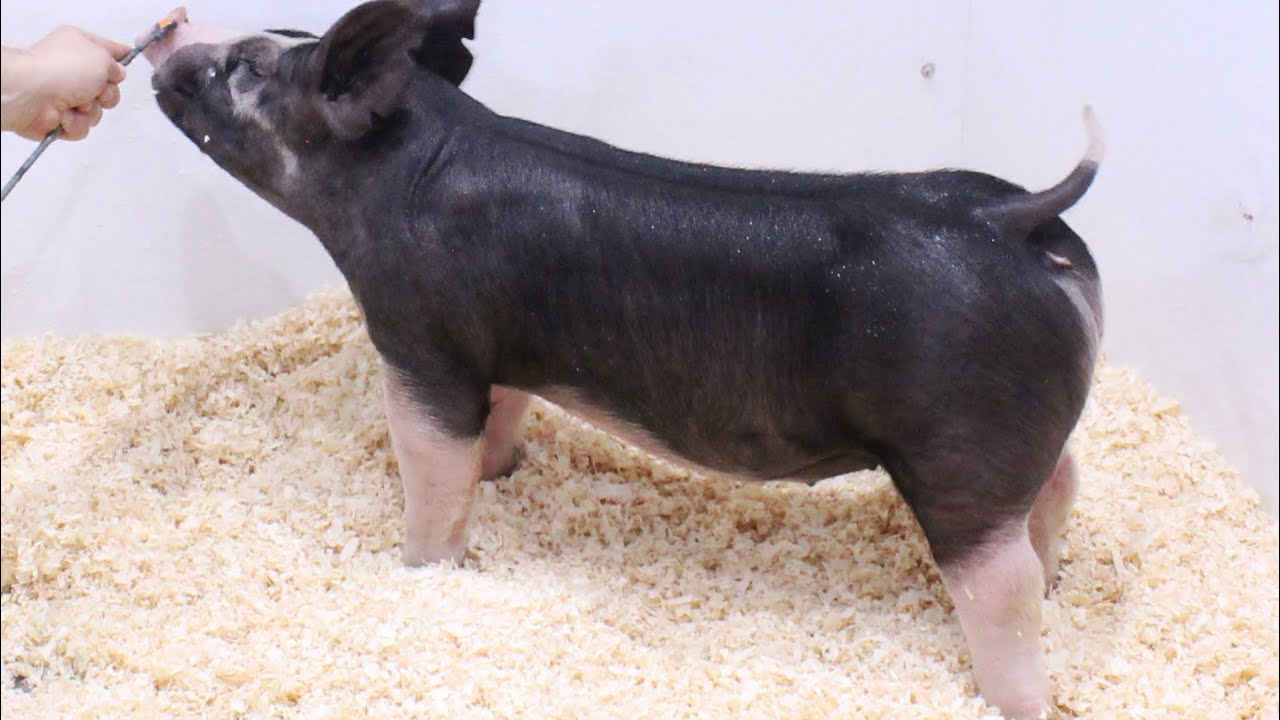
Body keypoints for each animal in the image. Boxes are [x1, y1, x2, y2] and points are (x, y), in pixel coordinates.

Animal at [143, 2, 1103, 716]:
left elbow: (432, 459)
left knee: (1001, 587)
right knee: (1058, 487)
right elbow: (501, 417)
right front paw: (500, 475)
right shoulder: (503, 343)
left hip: (955, 453)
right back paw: (1061, 581)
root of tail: (1009, 218)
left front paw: (419, 569)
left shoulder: (423, 340)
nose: (166, 31)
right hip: (1013, 441)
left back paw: (1016, 696)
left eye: (250, 68)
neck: (406, 163)